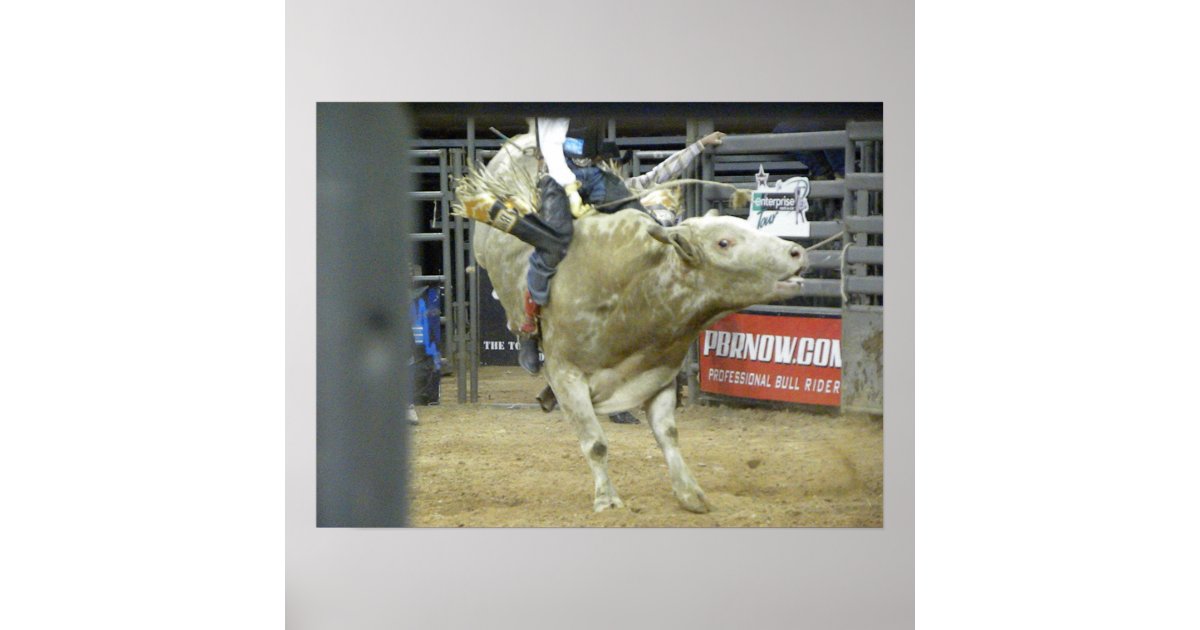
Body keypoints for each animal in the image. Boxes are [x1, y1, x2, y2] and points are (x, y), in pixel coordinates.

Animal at [467, 130, 808, 513]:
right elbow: (595, 442)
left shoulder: (657, 374)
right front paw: (607, 499)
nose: (796, 252)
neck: (636, 289)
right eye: (724, 242)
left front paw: (690, 493)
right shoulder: (566, 375)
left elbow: (668, 434)